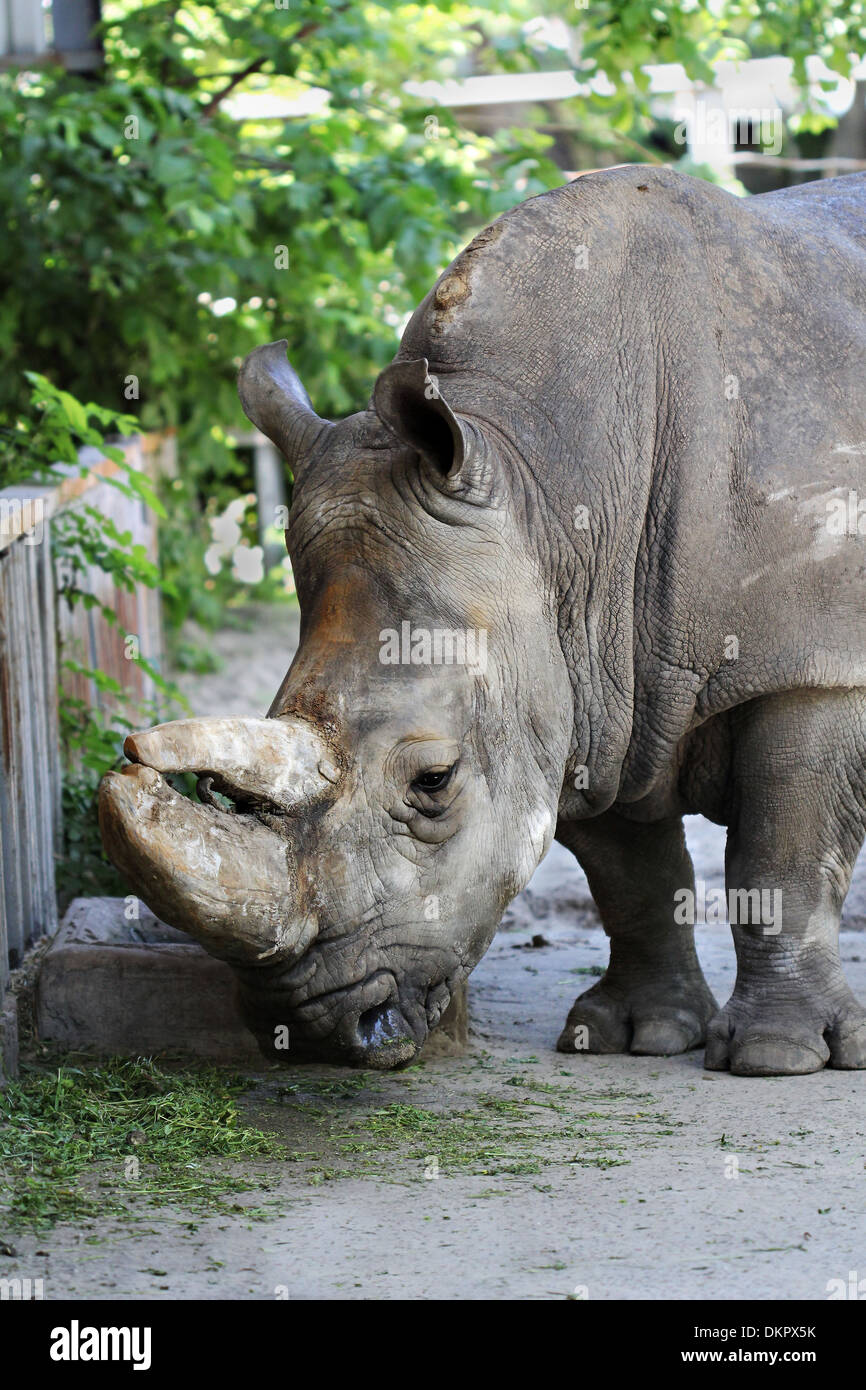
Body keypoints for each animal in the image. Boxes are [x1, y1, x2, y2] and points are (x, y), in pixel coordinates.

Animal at [99, 164, 866, 1076]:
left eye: (433, 783)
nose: (314, 1029)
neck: (549, 490)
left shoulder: (814, 658)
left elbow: (784, 848)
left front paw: (774, 1057)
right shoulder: (589, 675)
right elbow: (631, 874)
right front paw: (631, 1038)